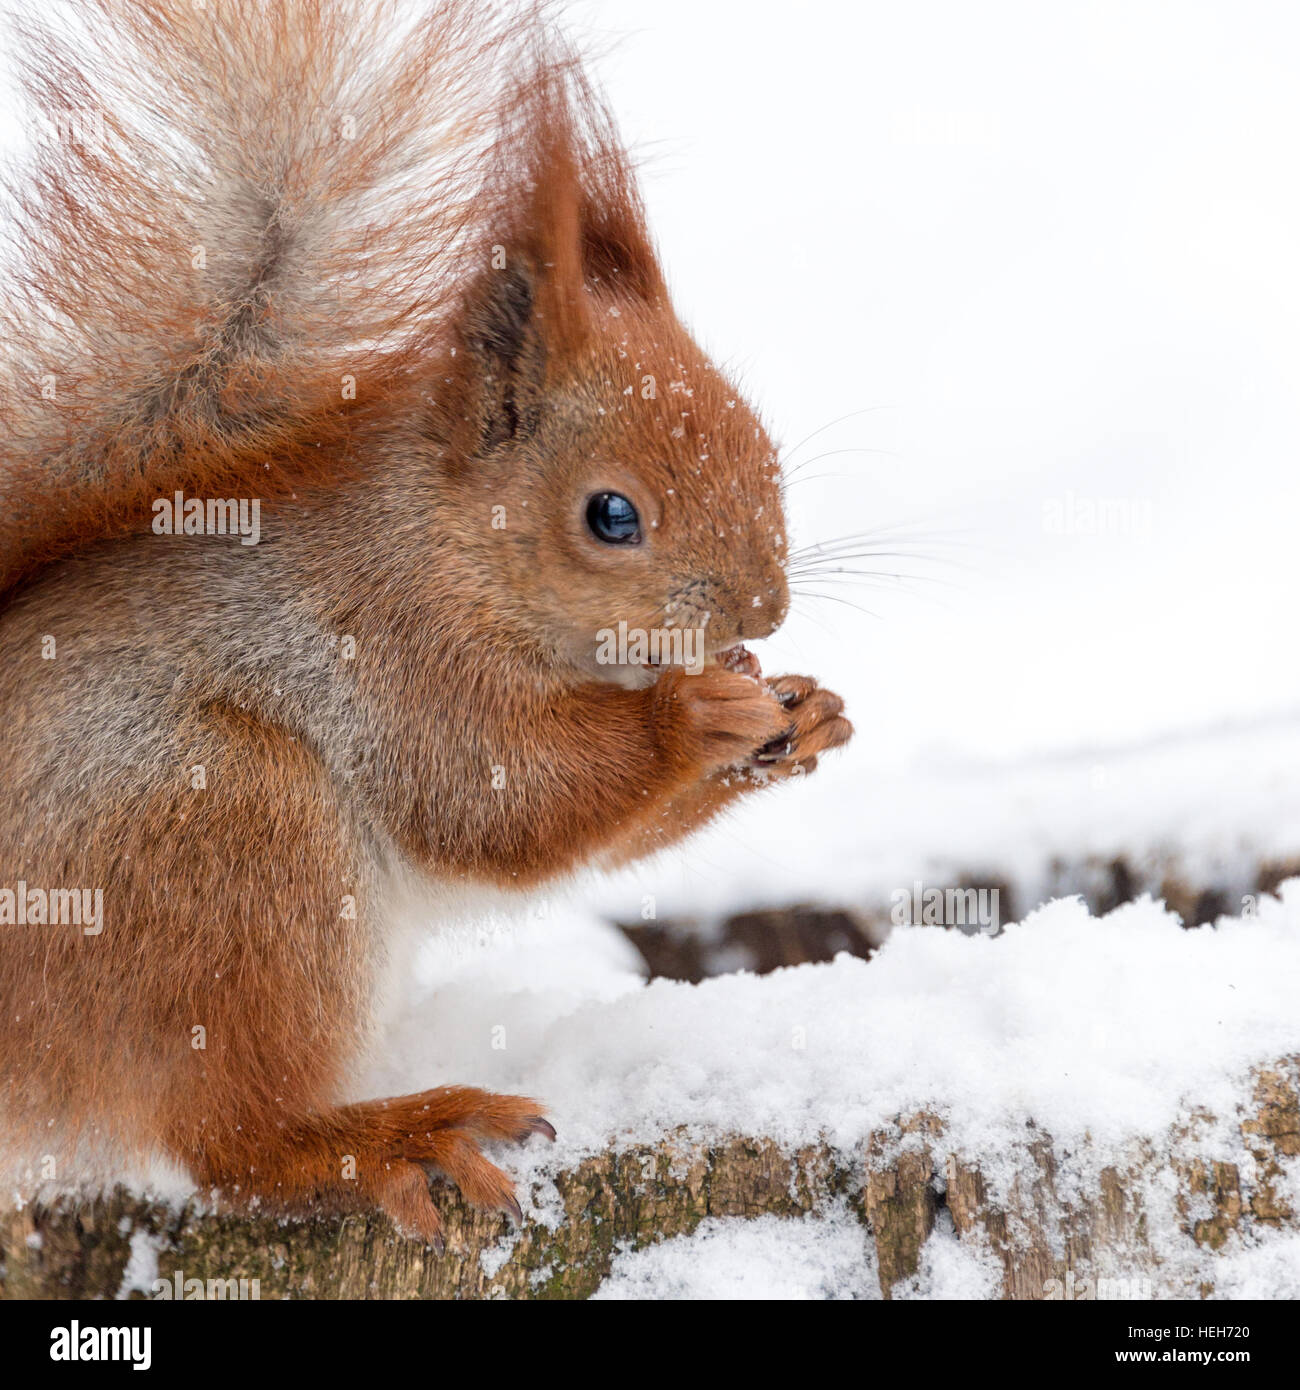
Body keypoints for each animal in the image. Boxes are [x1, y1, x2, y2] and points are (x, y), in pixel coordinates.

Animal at [0, 0, 852, 1247]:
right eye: (610, 515)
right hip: (223, 836)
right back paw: (395, 1135)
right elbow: (498, 794)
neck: (456, 549)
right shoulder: (390, 647)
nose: (763, 606)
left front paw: (800, 713)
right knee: (231, 1141)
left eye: (765, 449)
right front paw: (691, 716)